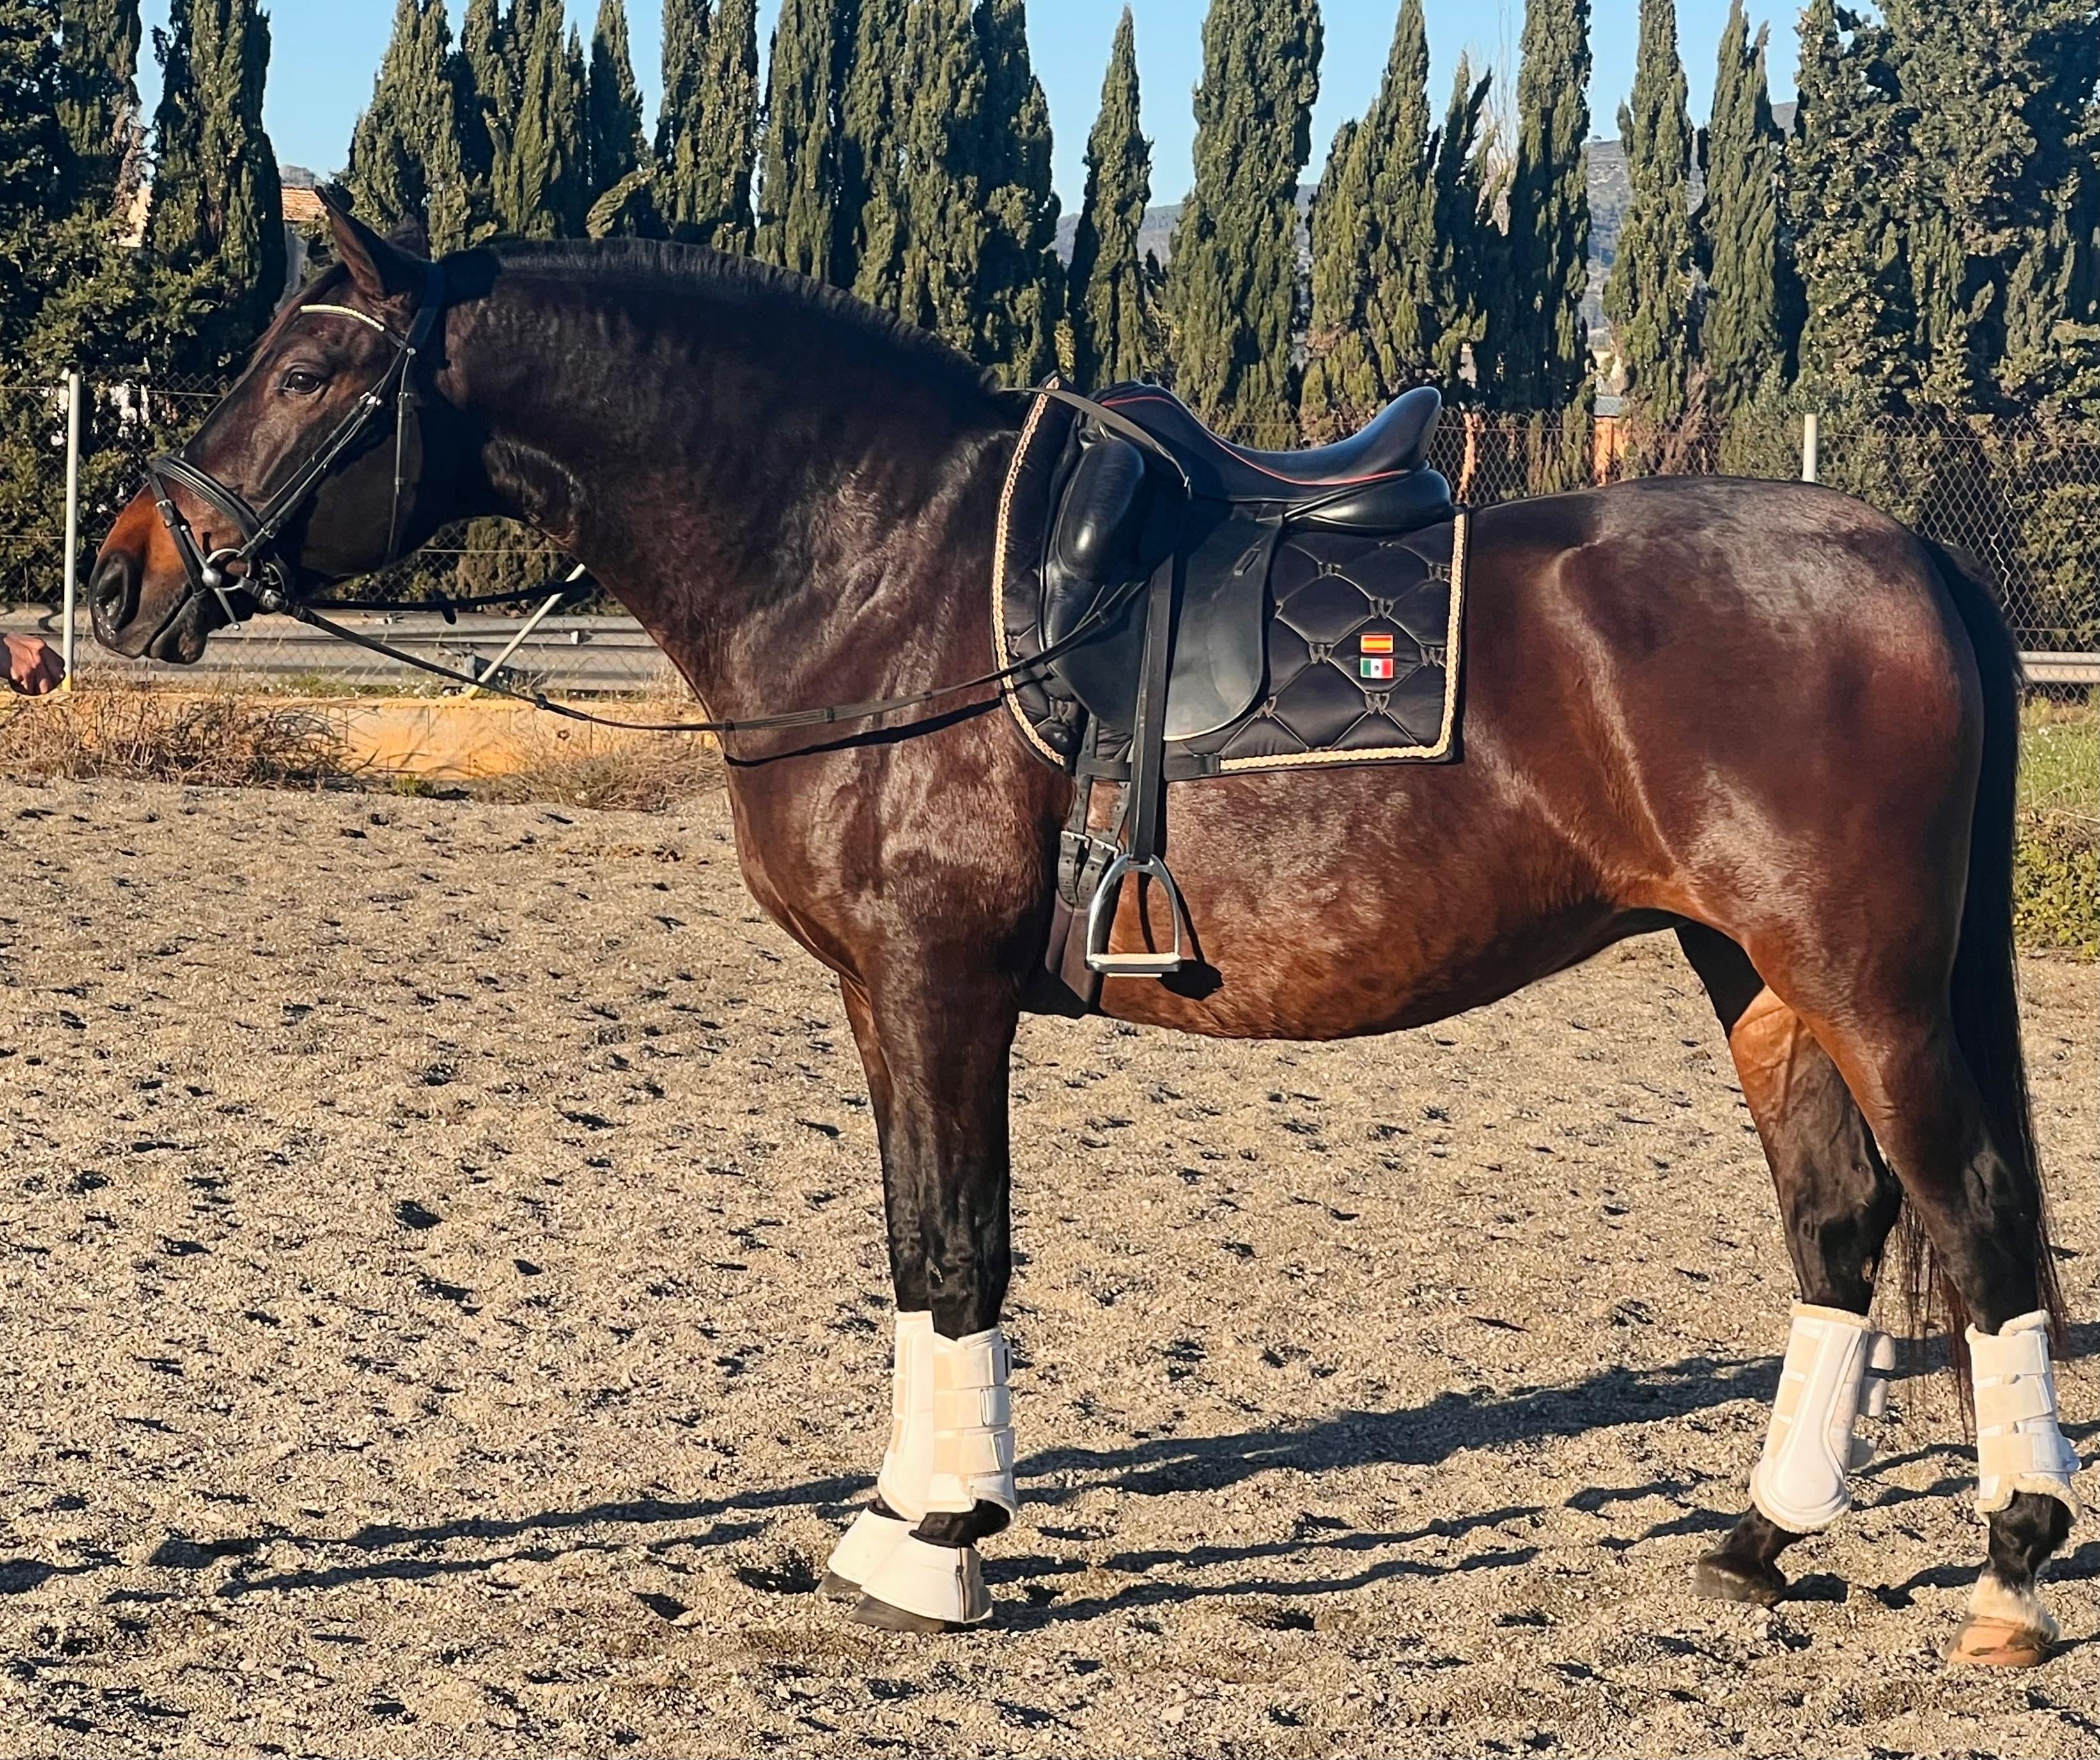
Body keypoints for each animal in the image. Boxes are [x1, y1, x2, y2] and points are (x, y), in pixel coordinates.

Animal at [89, 199, 2079, 1658]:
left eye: (306, 367)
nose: (124, 575)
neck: (883, 571)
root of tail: (1902, 554)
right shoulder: (883, 1002)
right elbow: (913, 1246)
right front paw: (907, 1520)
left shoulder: (937, 984)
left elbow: (959, 1247)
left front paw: (935, 1545)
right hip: (1748, 970)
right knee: (1836, 1228)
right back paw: (1760, 1539)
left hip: (1866, 978)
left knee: (1978, 1217)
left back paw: (2007, 1565)